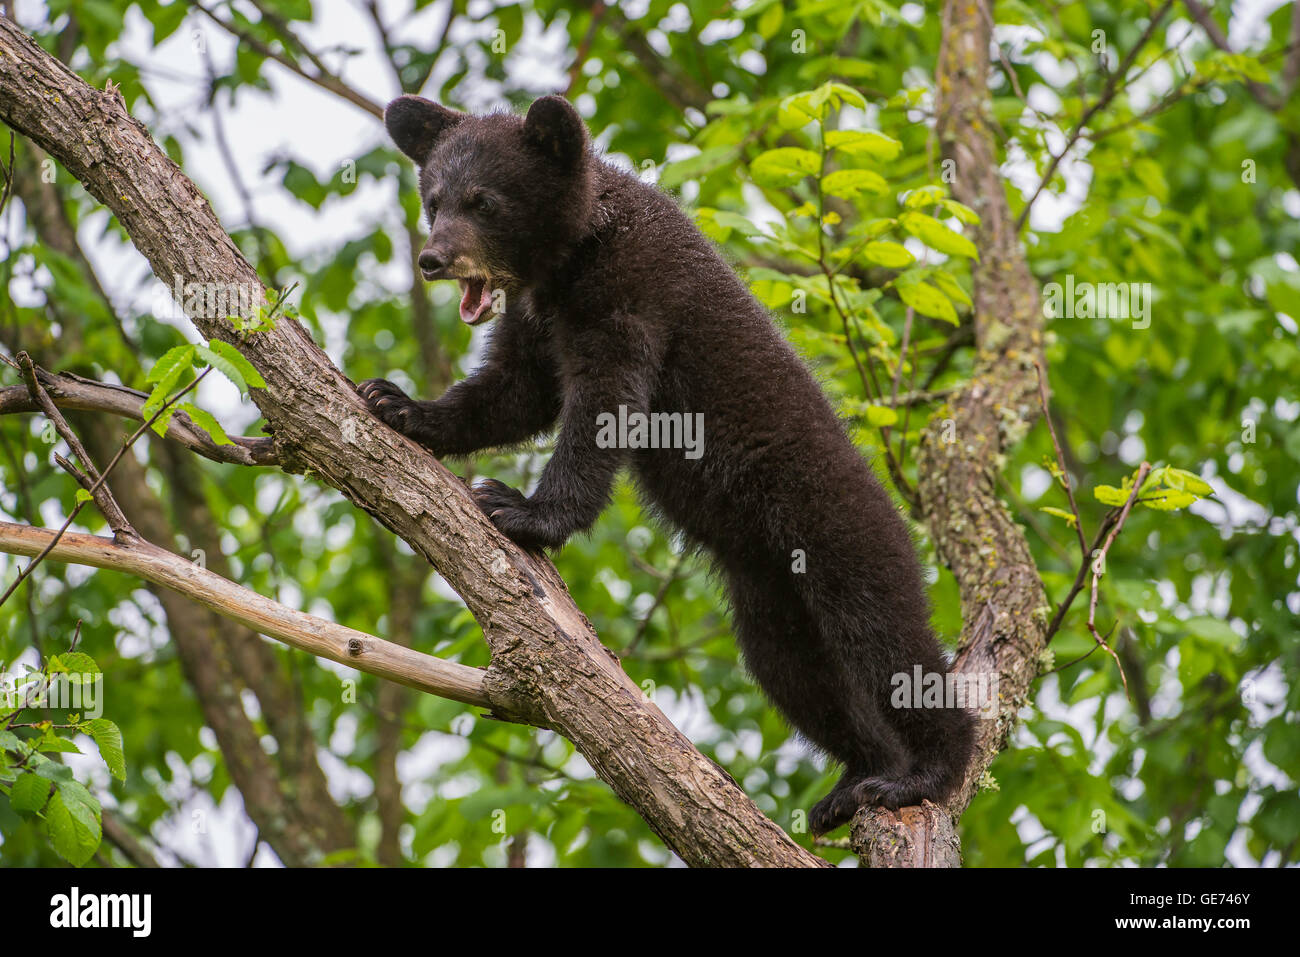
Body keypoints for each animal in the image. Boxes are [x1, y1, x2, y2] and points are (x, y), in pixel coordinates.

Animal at [359, 93, 976, 836]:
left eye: (484, 202)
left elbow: (602, 408)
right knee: (795, 673)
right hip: (768, 596)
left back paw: (923, 774)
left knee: (889, 645)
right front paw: (397, 403)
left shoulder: (632, 295)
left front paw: (523, 511)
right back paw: (853, 780)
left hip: (841, 534)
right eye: (434, 201)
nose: (432, 259)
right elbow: (511, 392)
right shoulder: (536, 319)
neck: (571, 256)